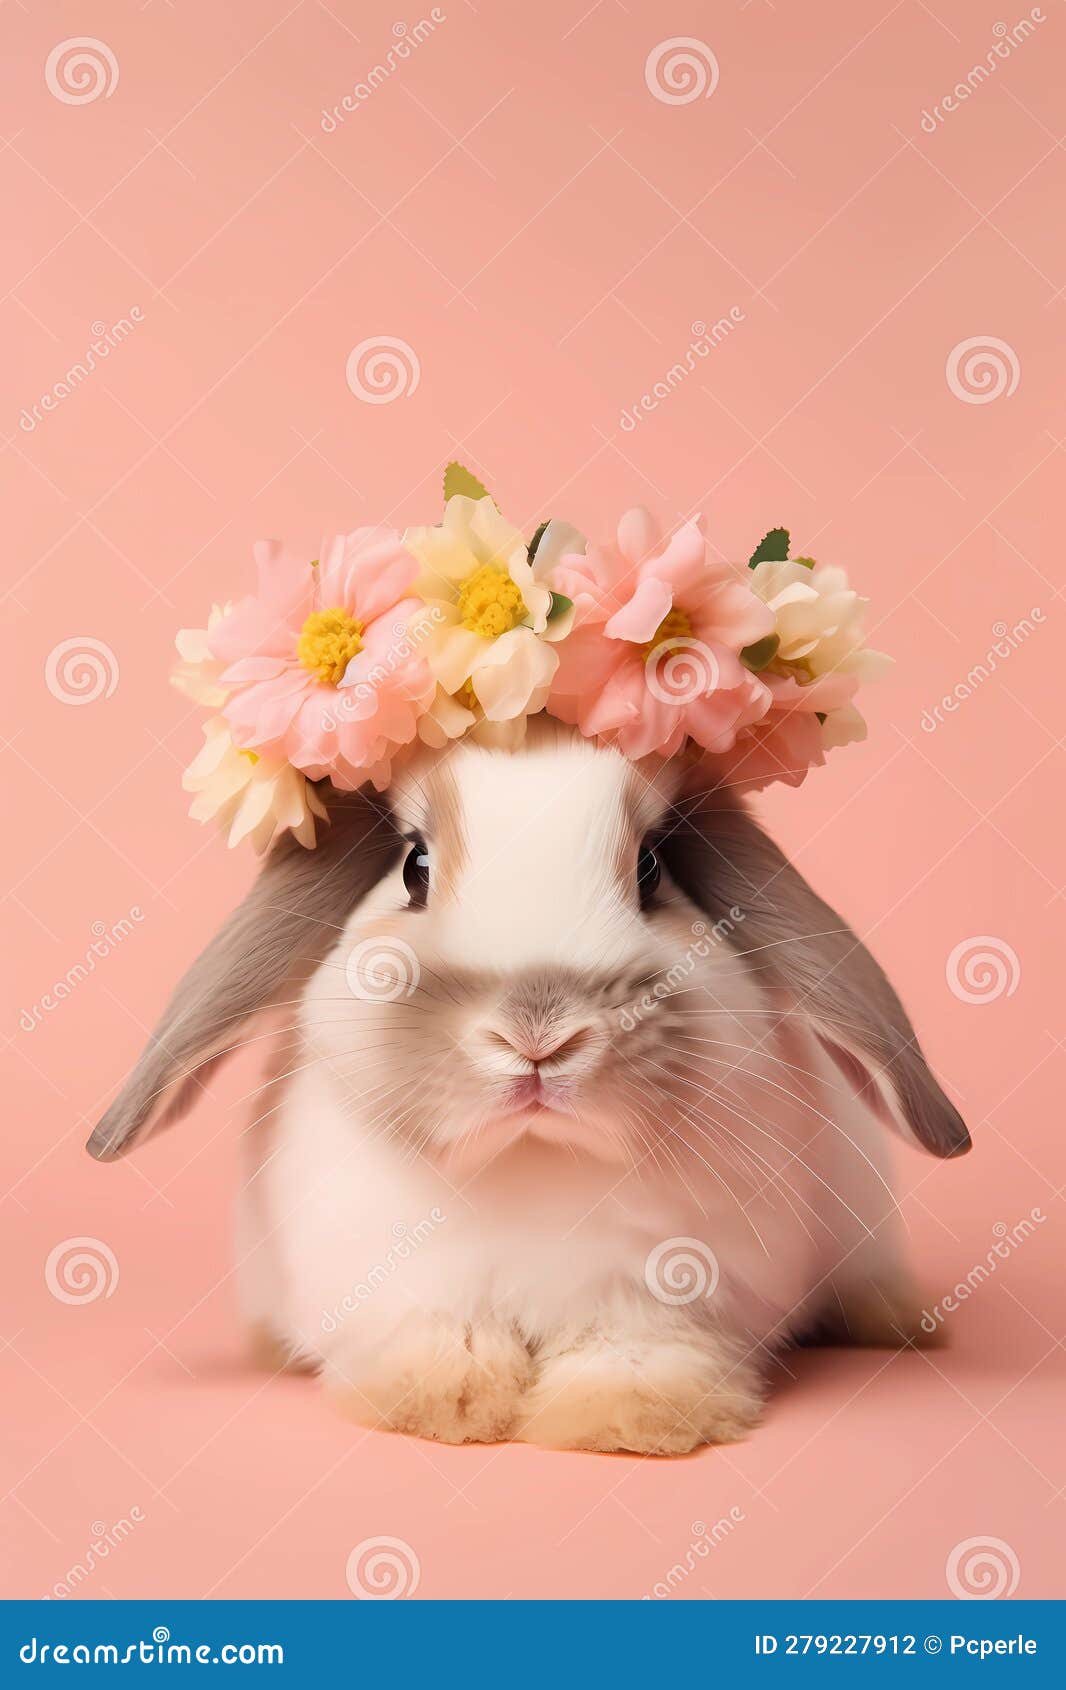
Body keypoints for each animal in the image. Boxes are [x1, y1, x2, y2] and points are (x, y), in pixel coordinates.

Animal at [87, 718, 969, 1455]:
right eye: (413, 866)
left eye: (653, 867)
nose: (537, 1030)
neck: (533, 1162)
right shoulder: (404, 1282)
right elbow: (439, 1339)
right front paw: (442, 1405)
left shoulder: (662, 1292)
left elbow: (636, 1354)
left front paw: (625, 1420)